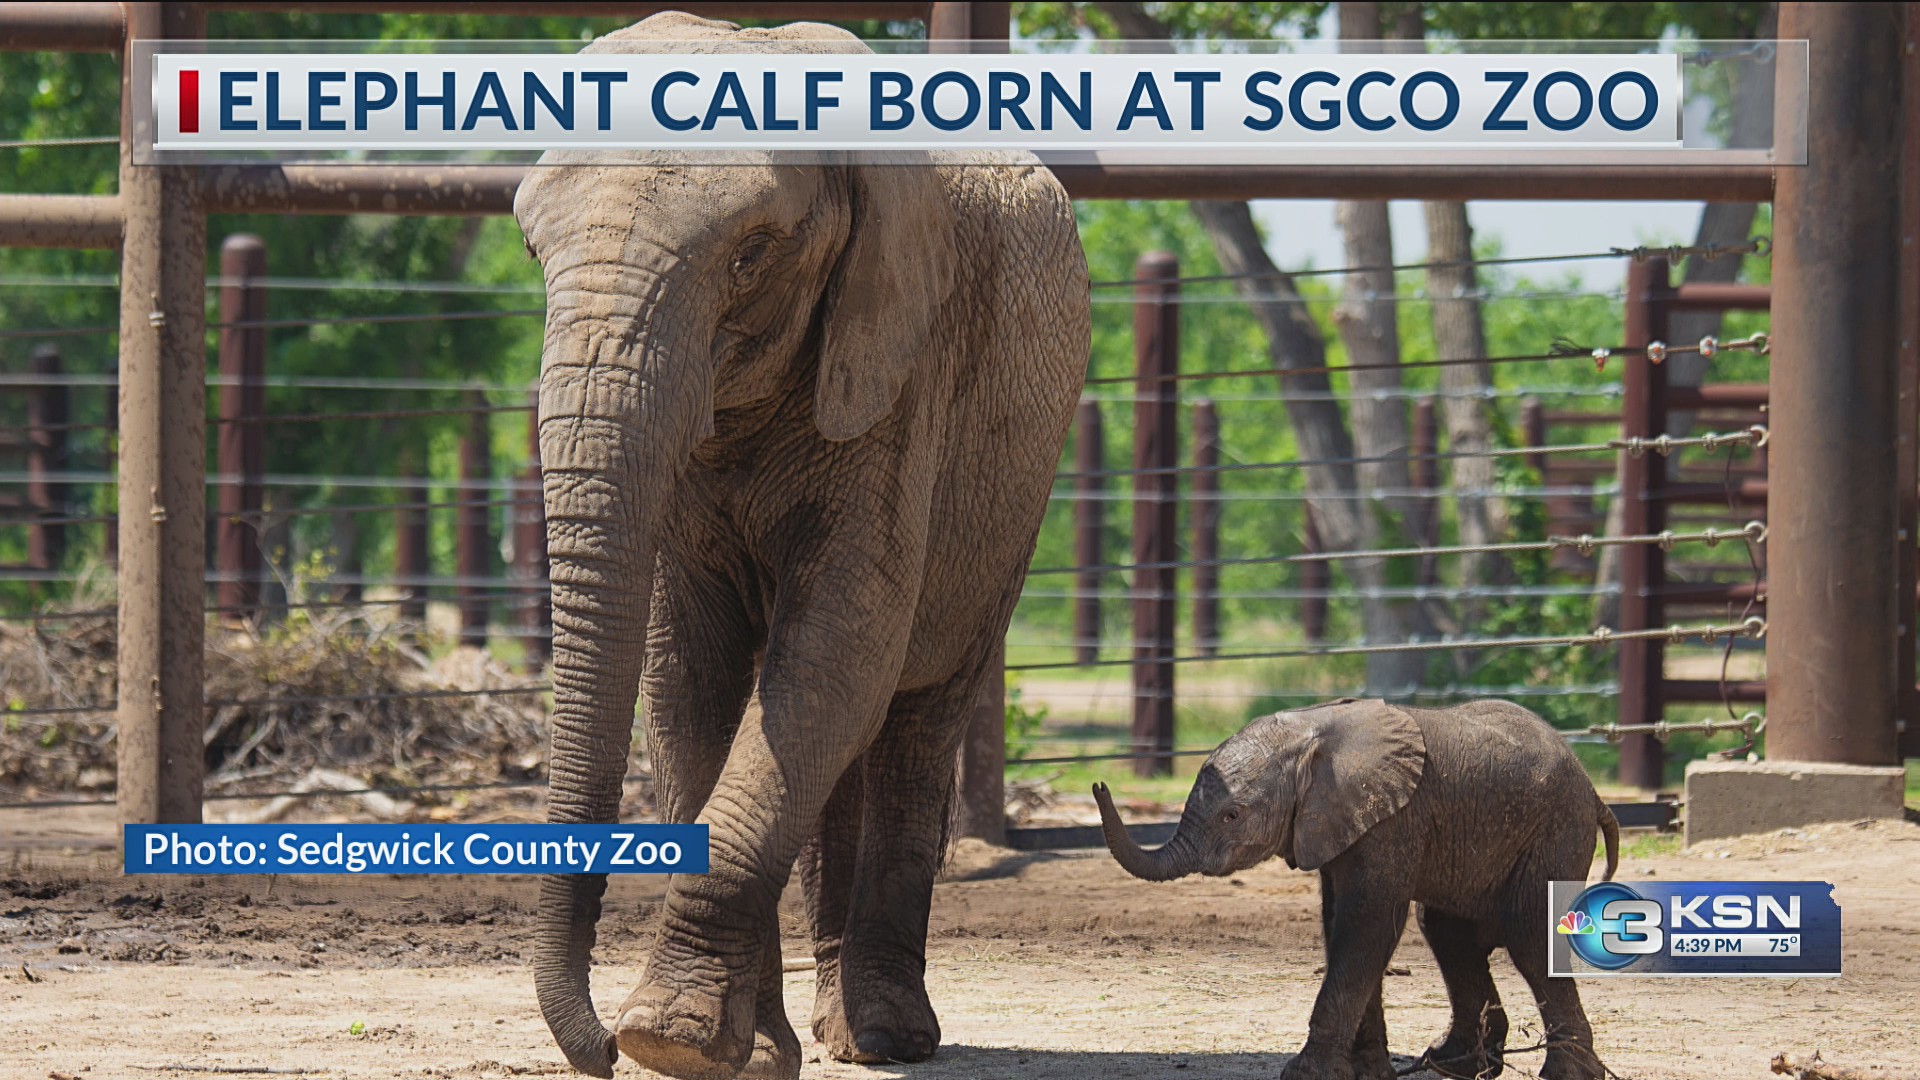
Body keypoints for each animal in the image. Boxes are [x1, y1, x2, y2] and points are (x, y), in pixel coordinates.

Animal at [513, 13, 1088, 1080]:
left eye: (751, 256)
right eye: (533, 249)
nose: (596, 1048)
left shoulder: (903, 368)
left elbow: (836, 654)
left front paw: (669, 1040)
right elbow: (689, 680)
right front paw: (739, 1052)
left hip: (1016, 487)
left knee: (914, 713)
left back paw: (887, 1038)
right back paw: (828, 1035)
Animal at [1094, 698, 1620, 1080]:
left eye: (1231, 815)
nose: (1099, 785)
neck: (1310, 730)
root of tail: (1595, 791)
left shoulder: (1393, 821)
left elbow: (1366, 926)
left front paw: (1306, 1075)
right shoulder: (1338, 825)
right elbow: (1340, 927)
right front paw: (1368, 1073)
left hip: (1555, 832)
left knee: (1529, 936)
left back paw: (1563, 1075)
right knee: (1448, 933)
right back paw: (1453, 1065)